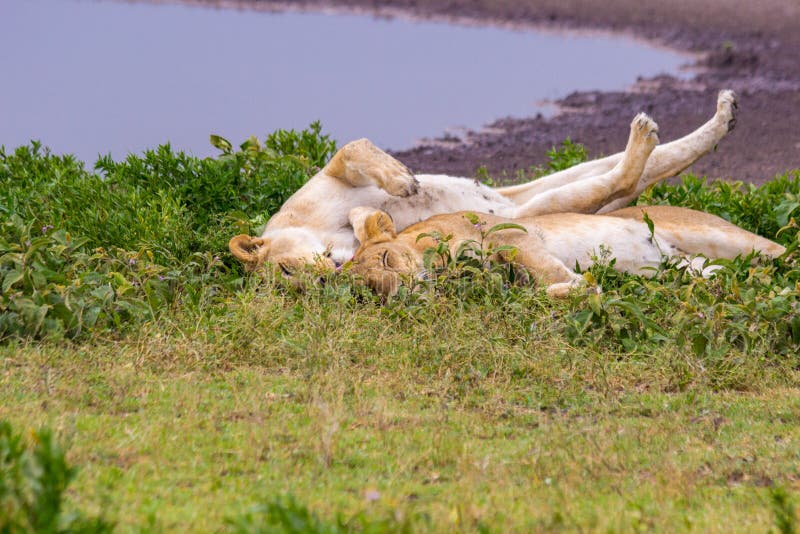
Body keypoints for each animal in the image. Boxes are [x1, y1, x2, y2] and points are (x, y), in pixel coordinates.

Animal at [230, 91, 738, 279]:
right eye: (291, 282)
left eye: (286, 270)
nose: (327, 277)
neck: (337, 238)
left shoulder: (324, 180)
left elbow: (353, 146)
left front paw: (403, 181)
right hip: (523, 208)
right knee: (624, 178)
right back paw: (669, 132)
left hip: (514, 195)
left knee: (623, 170)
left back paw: (721, 115)